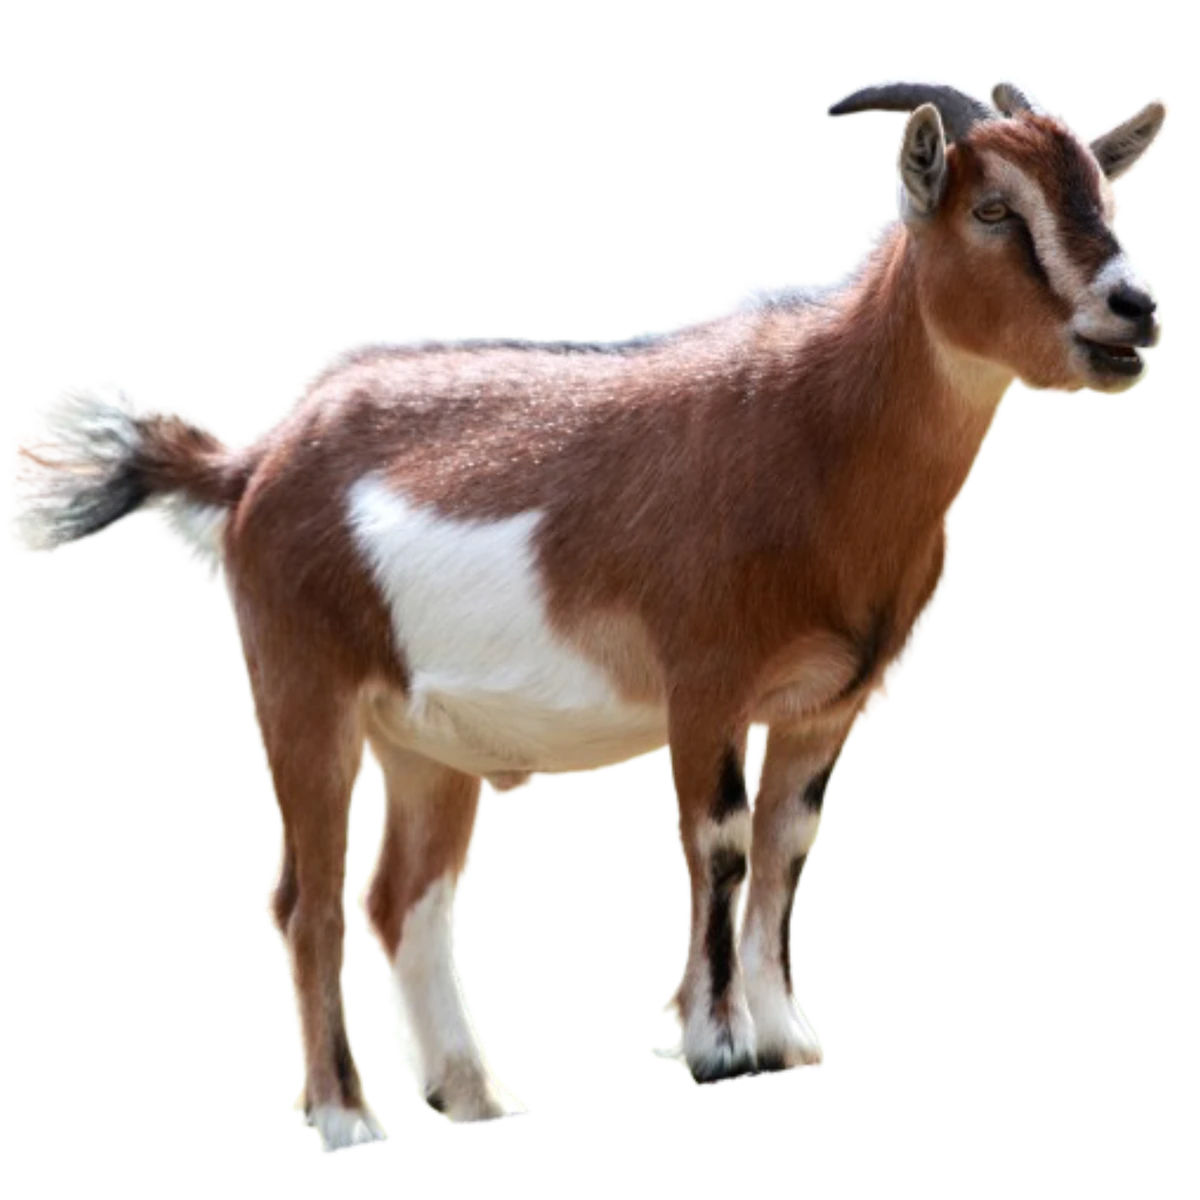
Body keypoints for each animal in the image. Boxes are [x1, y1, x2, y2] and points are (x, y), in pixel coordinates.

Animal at [7, 73, 1173, 1158]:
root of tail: (249, 468)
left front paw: (790, 1039)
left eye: (1105, 193)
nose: (1135, 308)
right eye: (993, 209)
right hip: (303, 689)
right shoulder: (706, 686)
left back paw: (474, 1097)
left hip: (428, 746)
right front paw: (720, 1046)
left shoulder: (825, 711)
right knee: (313, 900)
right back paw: (346, 1121)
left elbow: (788, 848)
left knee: (401, 896)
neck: (818, 435)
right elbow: (722, 843)